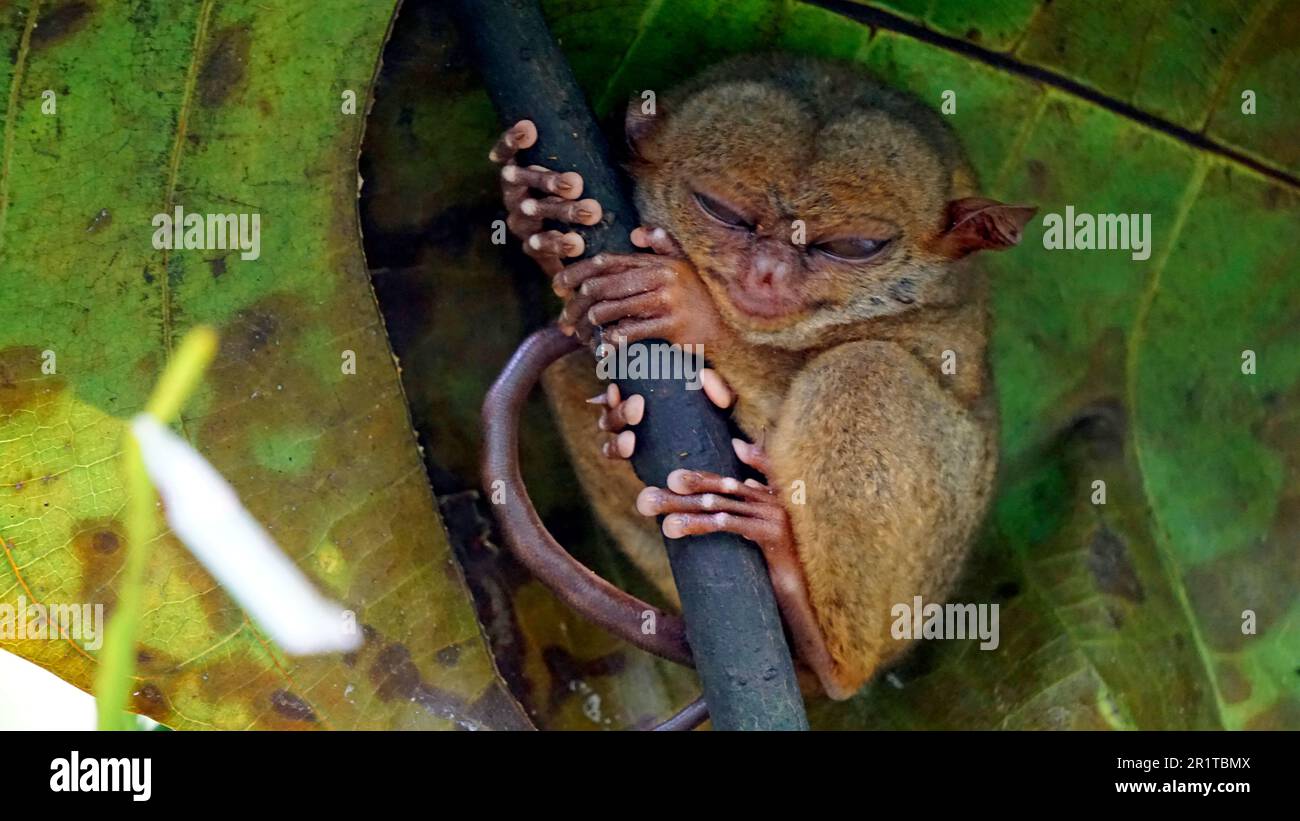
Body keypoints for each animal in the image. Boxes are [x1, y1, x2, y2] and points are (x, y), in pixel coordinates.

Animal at [488, 54, 1035, 700]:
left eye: (853, 246)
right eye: (721, 210)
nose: (768, 273)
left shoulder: (941, 328)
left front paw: (690, 308)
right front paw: (537, 211)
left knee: (863, 369)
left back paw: (815, 628)